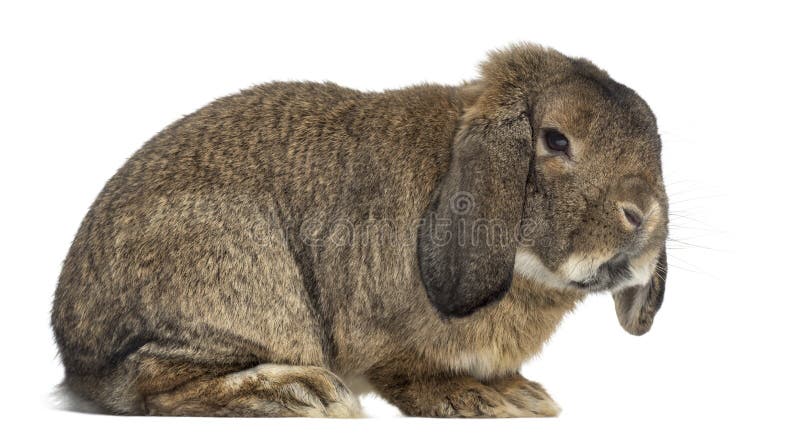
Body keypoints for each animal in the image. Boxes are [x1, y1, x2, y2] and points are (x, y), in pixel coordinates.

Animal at [51, 42, 668, 418]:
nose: (645, 213)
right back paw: (304, 394)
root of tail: (76, 356)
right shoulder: (387, 342)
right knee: (151, 383)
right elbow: (410, 376)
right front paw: (477, 400)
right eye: (555, 140)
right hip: (243, 281)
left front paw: (521, 395)